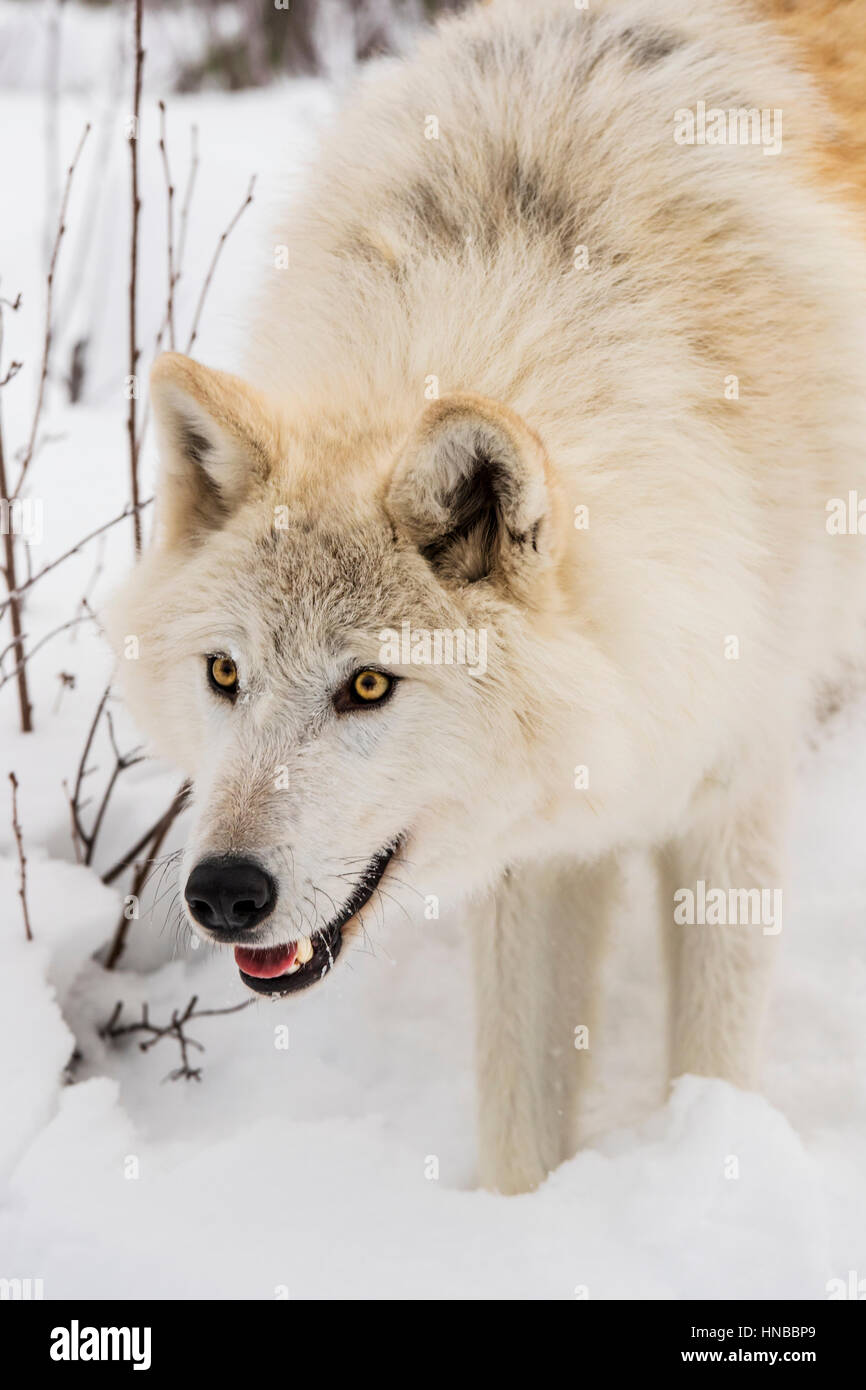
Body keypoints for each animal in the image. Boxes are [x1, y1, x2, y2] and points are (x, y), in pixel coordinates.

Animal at [108, 0, 866, 1194]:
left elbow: (715, 1055)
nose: (223, 892)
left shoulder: (732, 787)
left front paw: (714, 1175)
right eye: (224, 673)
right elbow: (521, 1107)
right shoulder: (534, 848)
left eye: (369, 685)